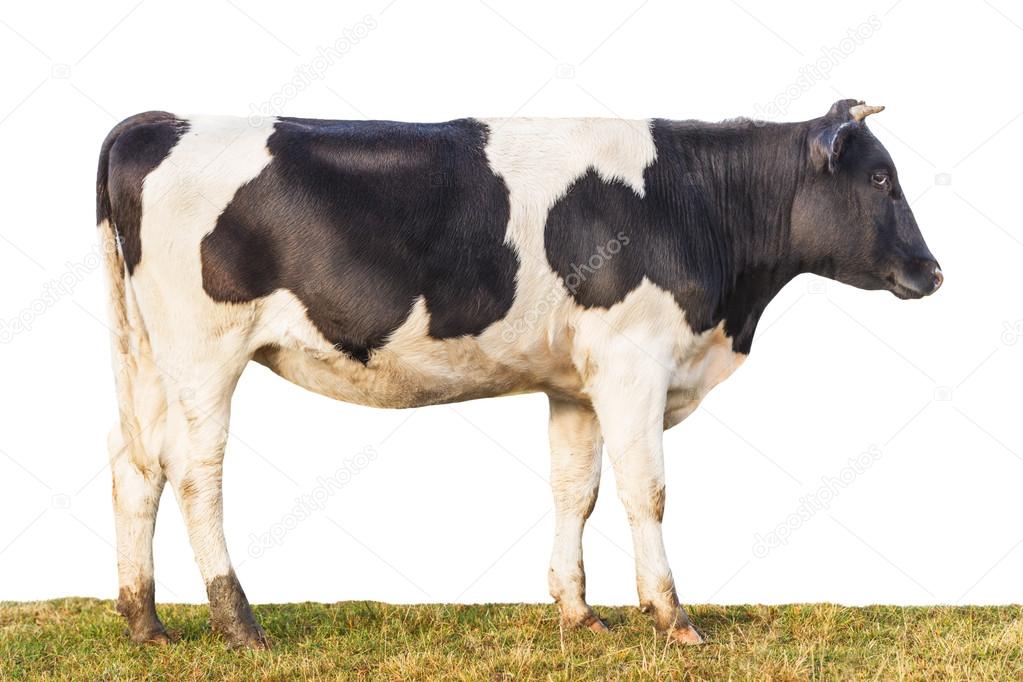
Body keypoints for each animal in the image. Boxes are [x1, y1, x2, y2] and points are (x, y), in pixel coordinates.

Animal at [96, 99, 941, 648]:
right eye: (879, 180)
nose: (932, 272)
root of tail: (156, 121)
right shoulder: (632, 364)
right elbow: (646, 491)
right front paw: (672, 617)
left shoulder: (576, 384)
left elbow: (576, 490)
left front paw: (578, 611)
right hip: (205, 348)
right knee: (196, 472)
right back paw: (238, 625)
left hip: (145, 353)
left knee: (136, 465)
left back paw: (146, 623)